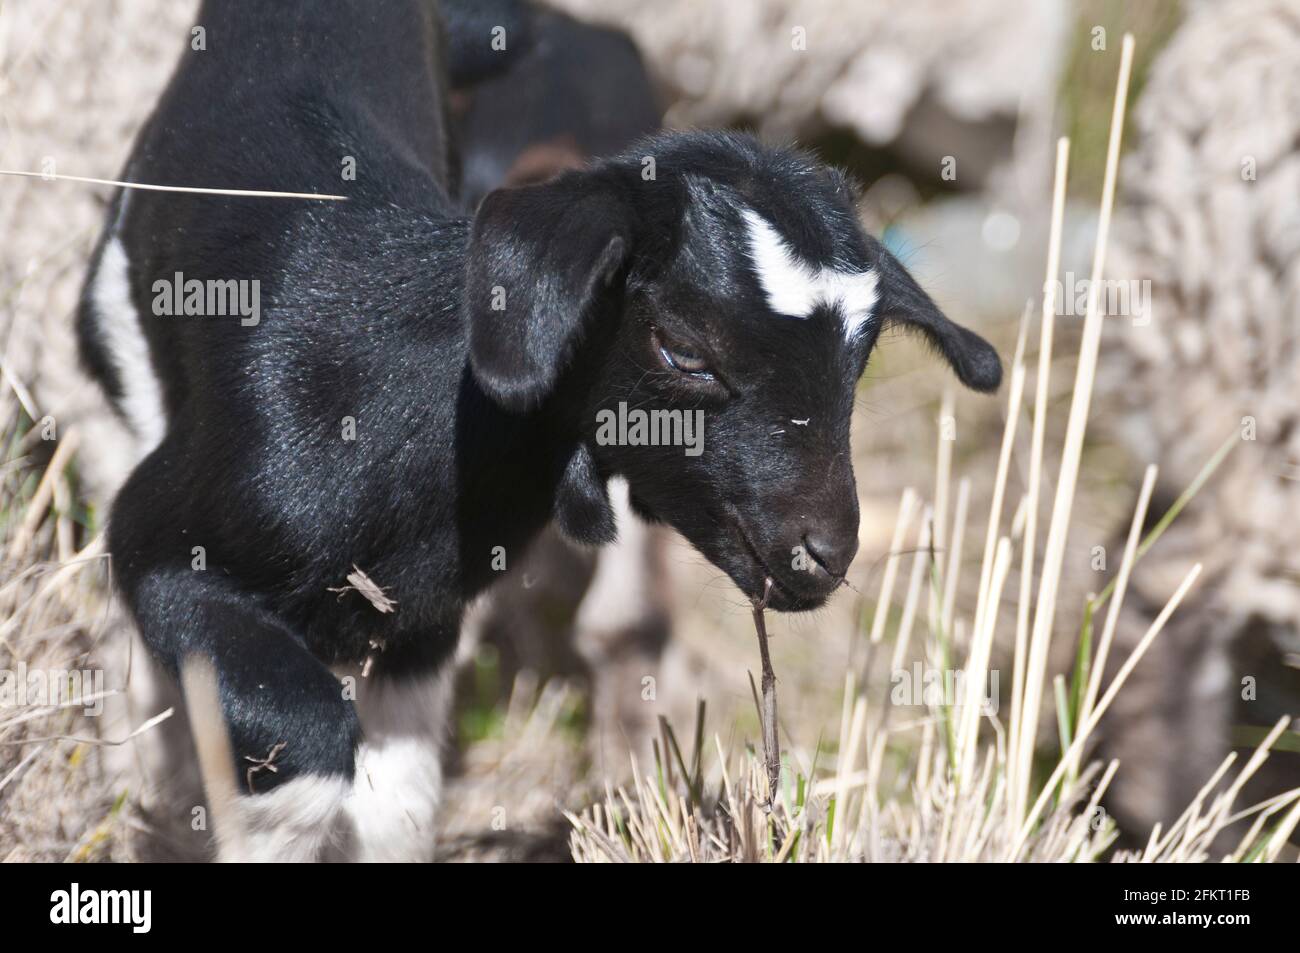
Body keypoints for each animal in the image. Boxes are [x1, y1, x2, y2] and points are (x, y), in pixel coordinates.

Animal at [77, 0, 1001, 861]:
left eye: (859, 360)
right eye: (684, 350)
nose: (824, 552)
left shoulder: (420, 620)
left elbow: (394, 800)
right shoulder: (166, 546)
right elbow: (301, 737)